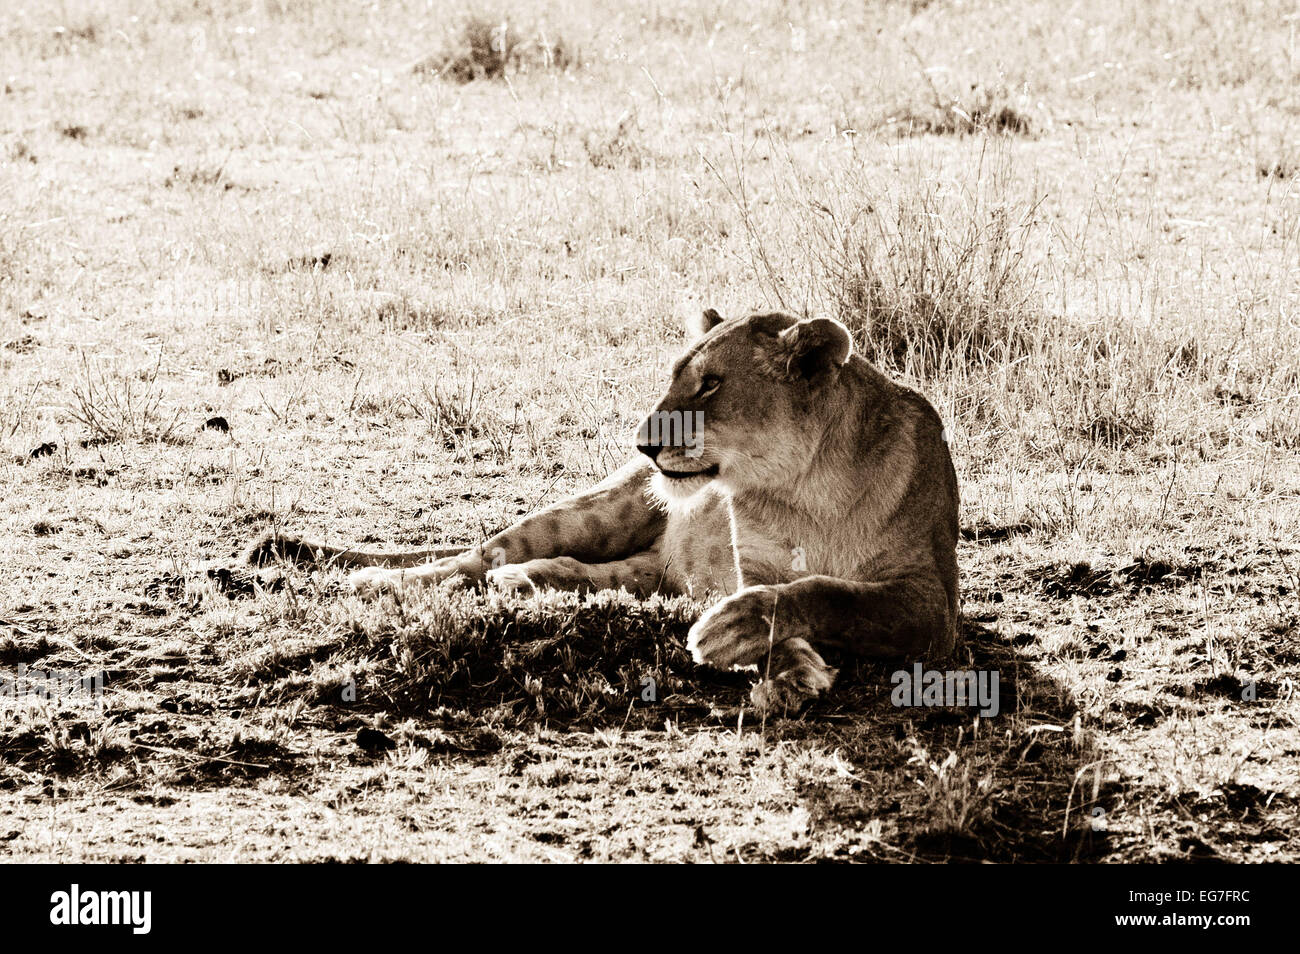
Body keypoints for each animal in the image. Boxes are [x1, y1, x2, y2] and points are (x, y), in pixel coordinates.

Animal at [246, 308, 960, 710]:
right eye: (674, 376)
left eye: (711, 384)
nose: (643, 445)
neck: (799, 487)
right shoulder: (752, 565)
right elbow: (787, 602)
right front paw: (780, 663)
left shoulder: (932, 600)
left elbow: (826, 592)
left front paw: (747, 637)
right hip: (595, 511)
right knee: (475, 556)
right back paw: (379, 580)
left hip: (645, 573)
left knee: (567, 572)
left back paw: (526, 584)